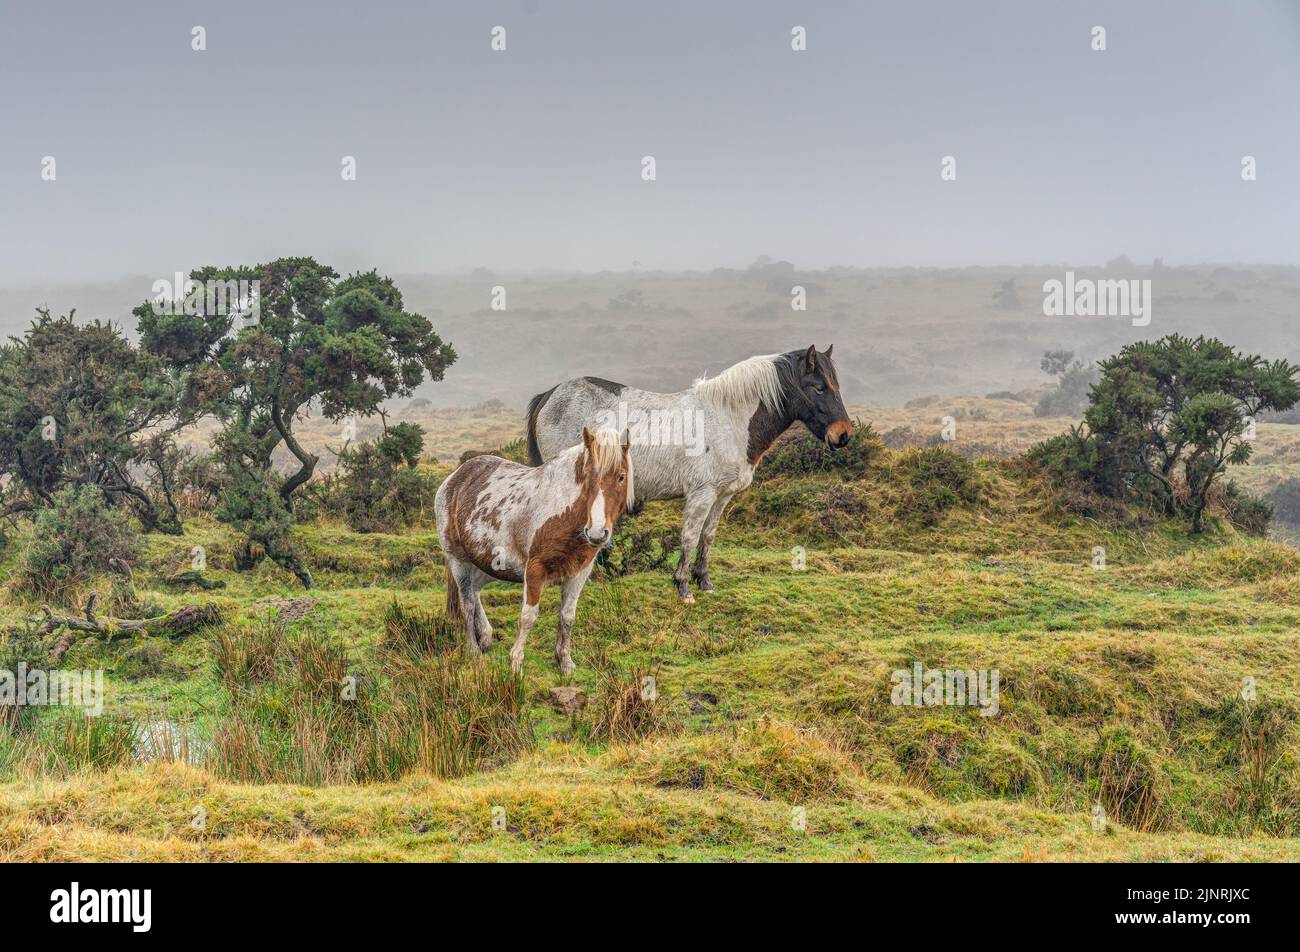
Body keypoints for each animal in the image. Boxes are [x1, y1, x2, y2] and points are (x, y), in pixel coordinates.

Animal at [435, 426, 632, 674]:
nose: (596, 532)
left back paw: (486, 637)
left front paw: (564, 661)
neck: (564, 512)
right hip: (459, 560)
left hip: (487, 563)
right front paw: (516, 662)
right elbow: (528, 616)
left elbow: (567, 616)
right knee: (467, 603)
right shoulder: (535, 570)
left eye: (621, 476)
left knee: (475, 590)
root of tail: (454, 478)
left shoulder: (579, 573)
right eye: (588, 475)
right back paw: (473, 649)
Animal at [525, 346, 852, 602]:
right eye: (819, 387)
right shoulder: (701, 493)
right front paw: (683, 587)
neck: (728, 419)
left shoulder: (722, 495)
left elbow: (708, 536)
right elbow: (690, 537)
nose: (843, 435)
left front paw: (703, 581)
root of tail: (550, 395)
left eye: (836, 385)